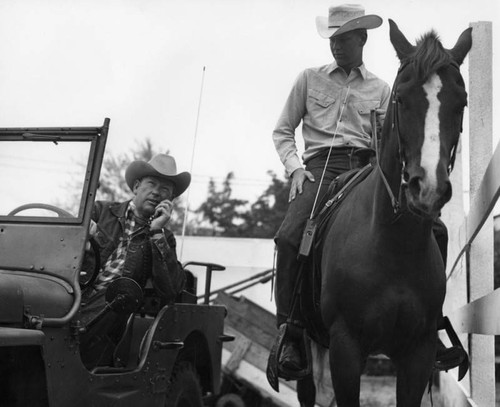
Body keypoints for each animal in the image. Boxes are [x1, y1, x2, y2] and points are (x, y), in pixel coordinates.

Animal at [296, 20, 472, 407]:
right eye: (401, 98)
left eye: (462, 102)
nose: (428, 187)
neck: (392, 245)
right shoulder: (346, 350)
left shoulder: (417, 354)